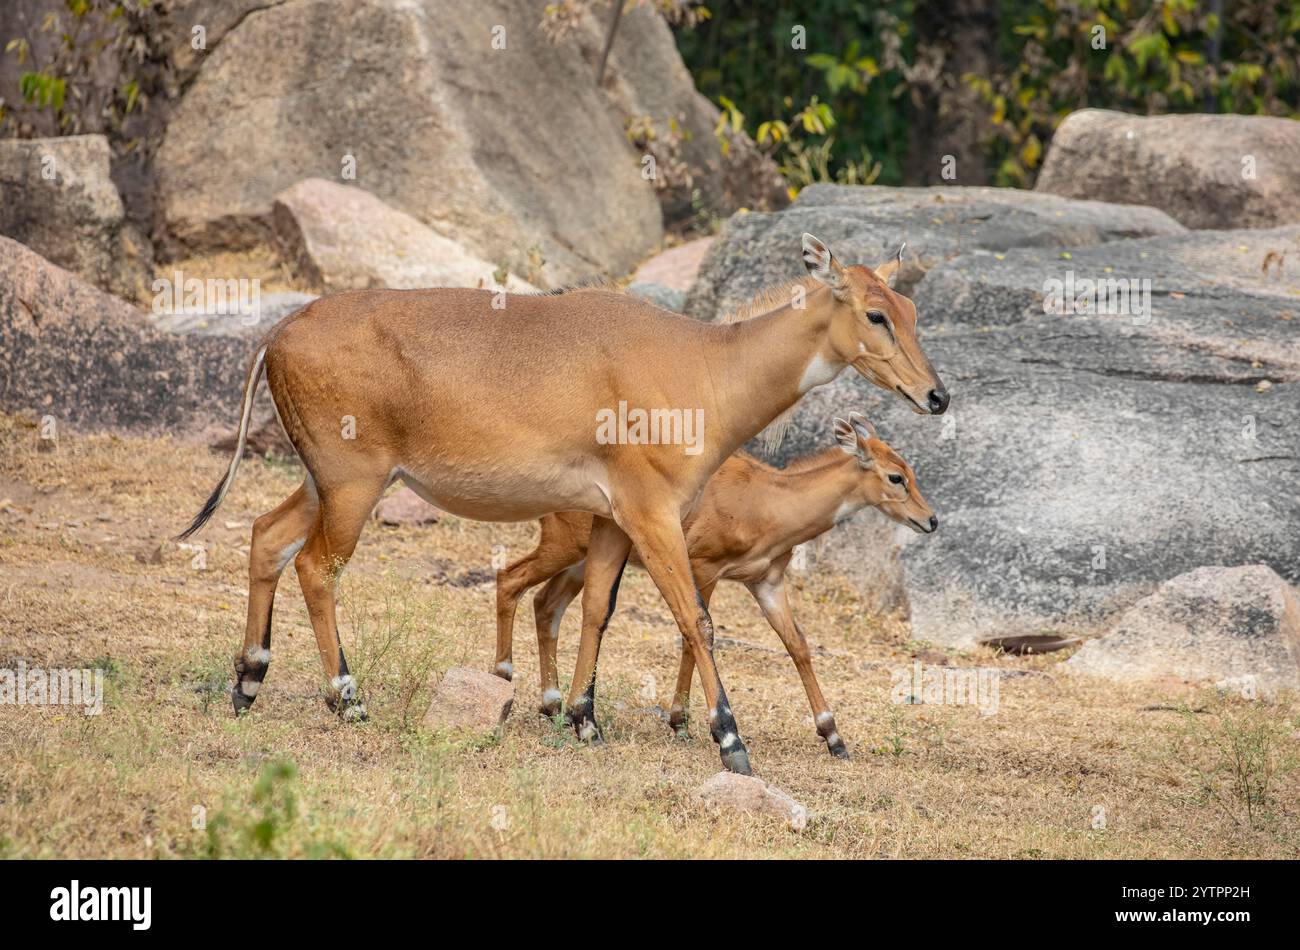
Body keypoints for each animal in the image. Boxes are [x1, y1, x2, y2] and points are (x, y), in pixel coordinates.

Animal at [493, 412, 936, 758]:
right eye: (896, 476)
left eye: (912, 472)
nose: (930, 520)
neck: (769, 500)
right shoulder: (705, 567)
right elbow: (695, 635)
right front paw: (684, 722)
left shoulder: (766, 581)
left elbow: (798, 645)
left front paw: (834, 736)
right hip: (564, 544)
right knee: (509, 578)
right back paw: (504, 678)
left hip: (585, 559)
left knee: (547, 603)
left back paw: (551, 704)